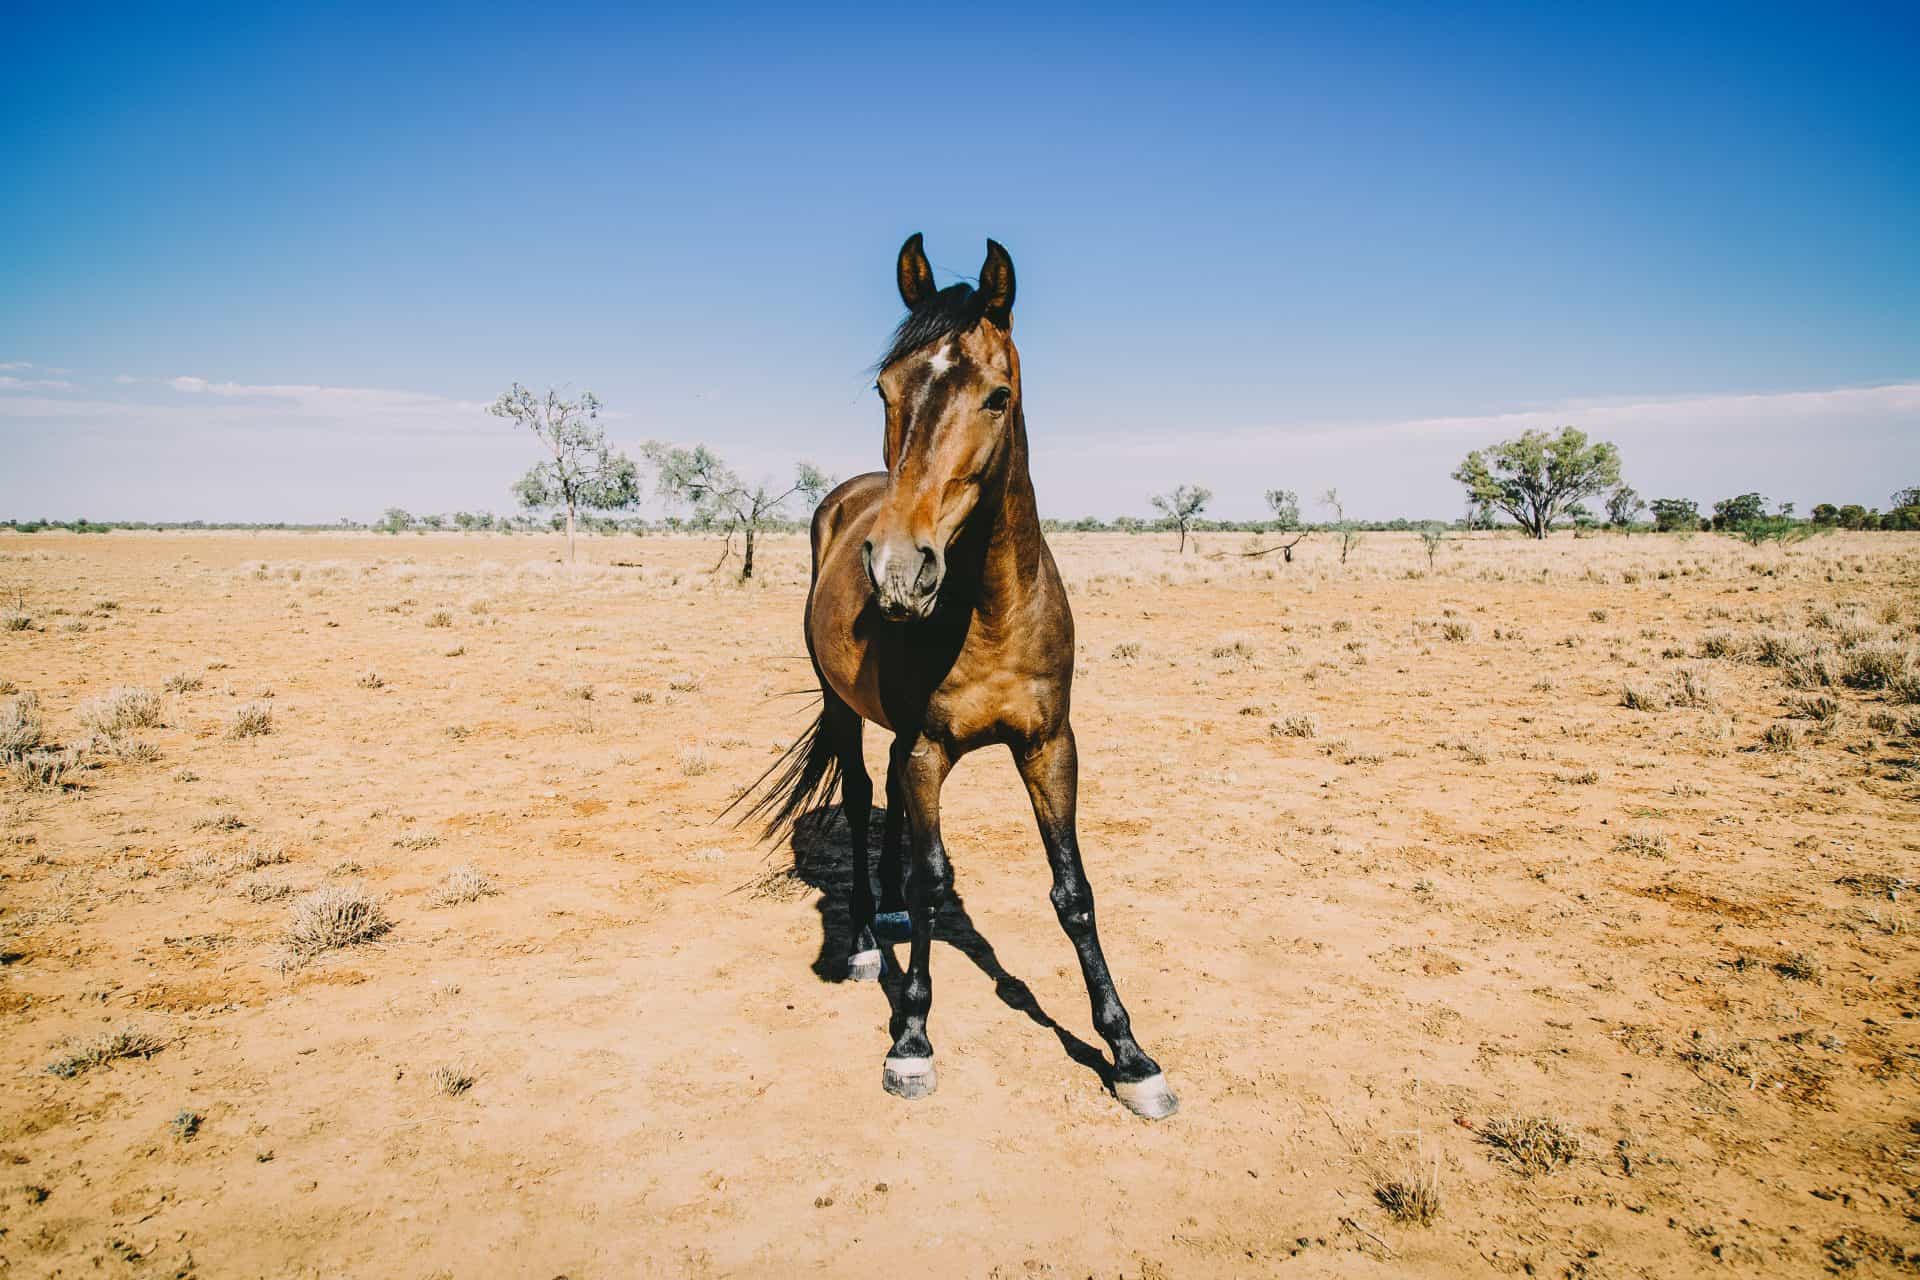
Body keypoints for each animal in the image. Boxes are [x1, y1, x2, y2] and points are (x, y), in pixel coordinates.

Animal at [736, 234, 1177, 1121]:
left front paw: (1129, 1053)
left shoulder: (1049, 745)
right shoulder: (930, 749)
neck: (994, 613)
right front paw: (911, 1039)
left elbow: (1073, 891)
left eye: (997, 396)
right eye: (885, 388)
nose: (899, 570)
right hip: (847, 710)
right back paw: (867, 940)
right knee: (862, 798)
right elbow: (933, 880)